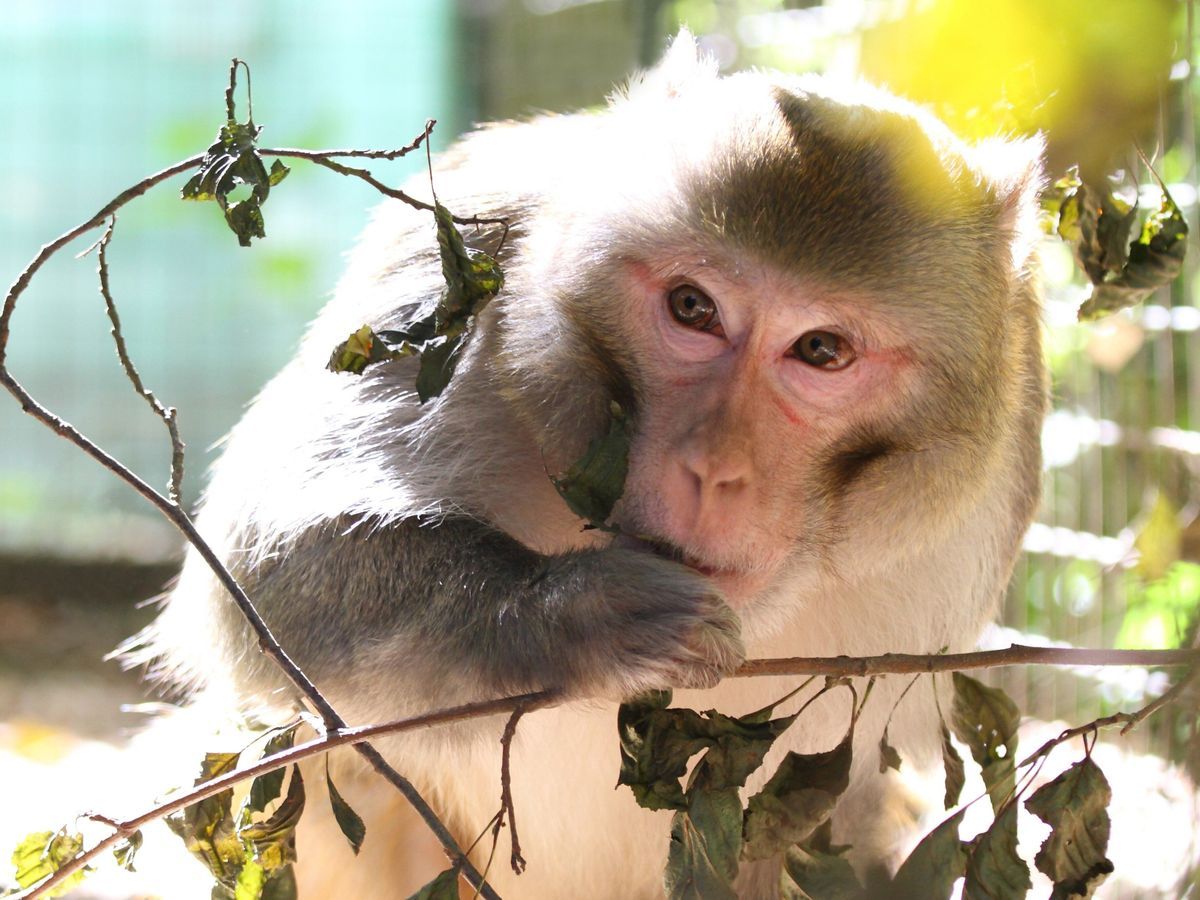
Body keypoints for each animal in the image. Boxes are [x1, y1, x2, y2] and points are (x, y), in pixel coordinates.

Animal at [123, 33, 1046, 899]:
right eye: (693, 308)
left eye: (821, 350)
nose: (715, 468)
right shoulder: (465, 262)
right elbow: (265, 568)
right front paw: (575, 614)